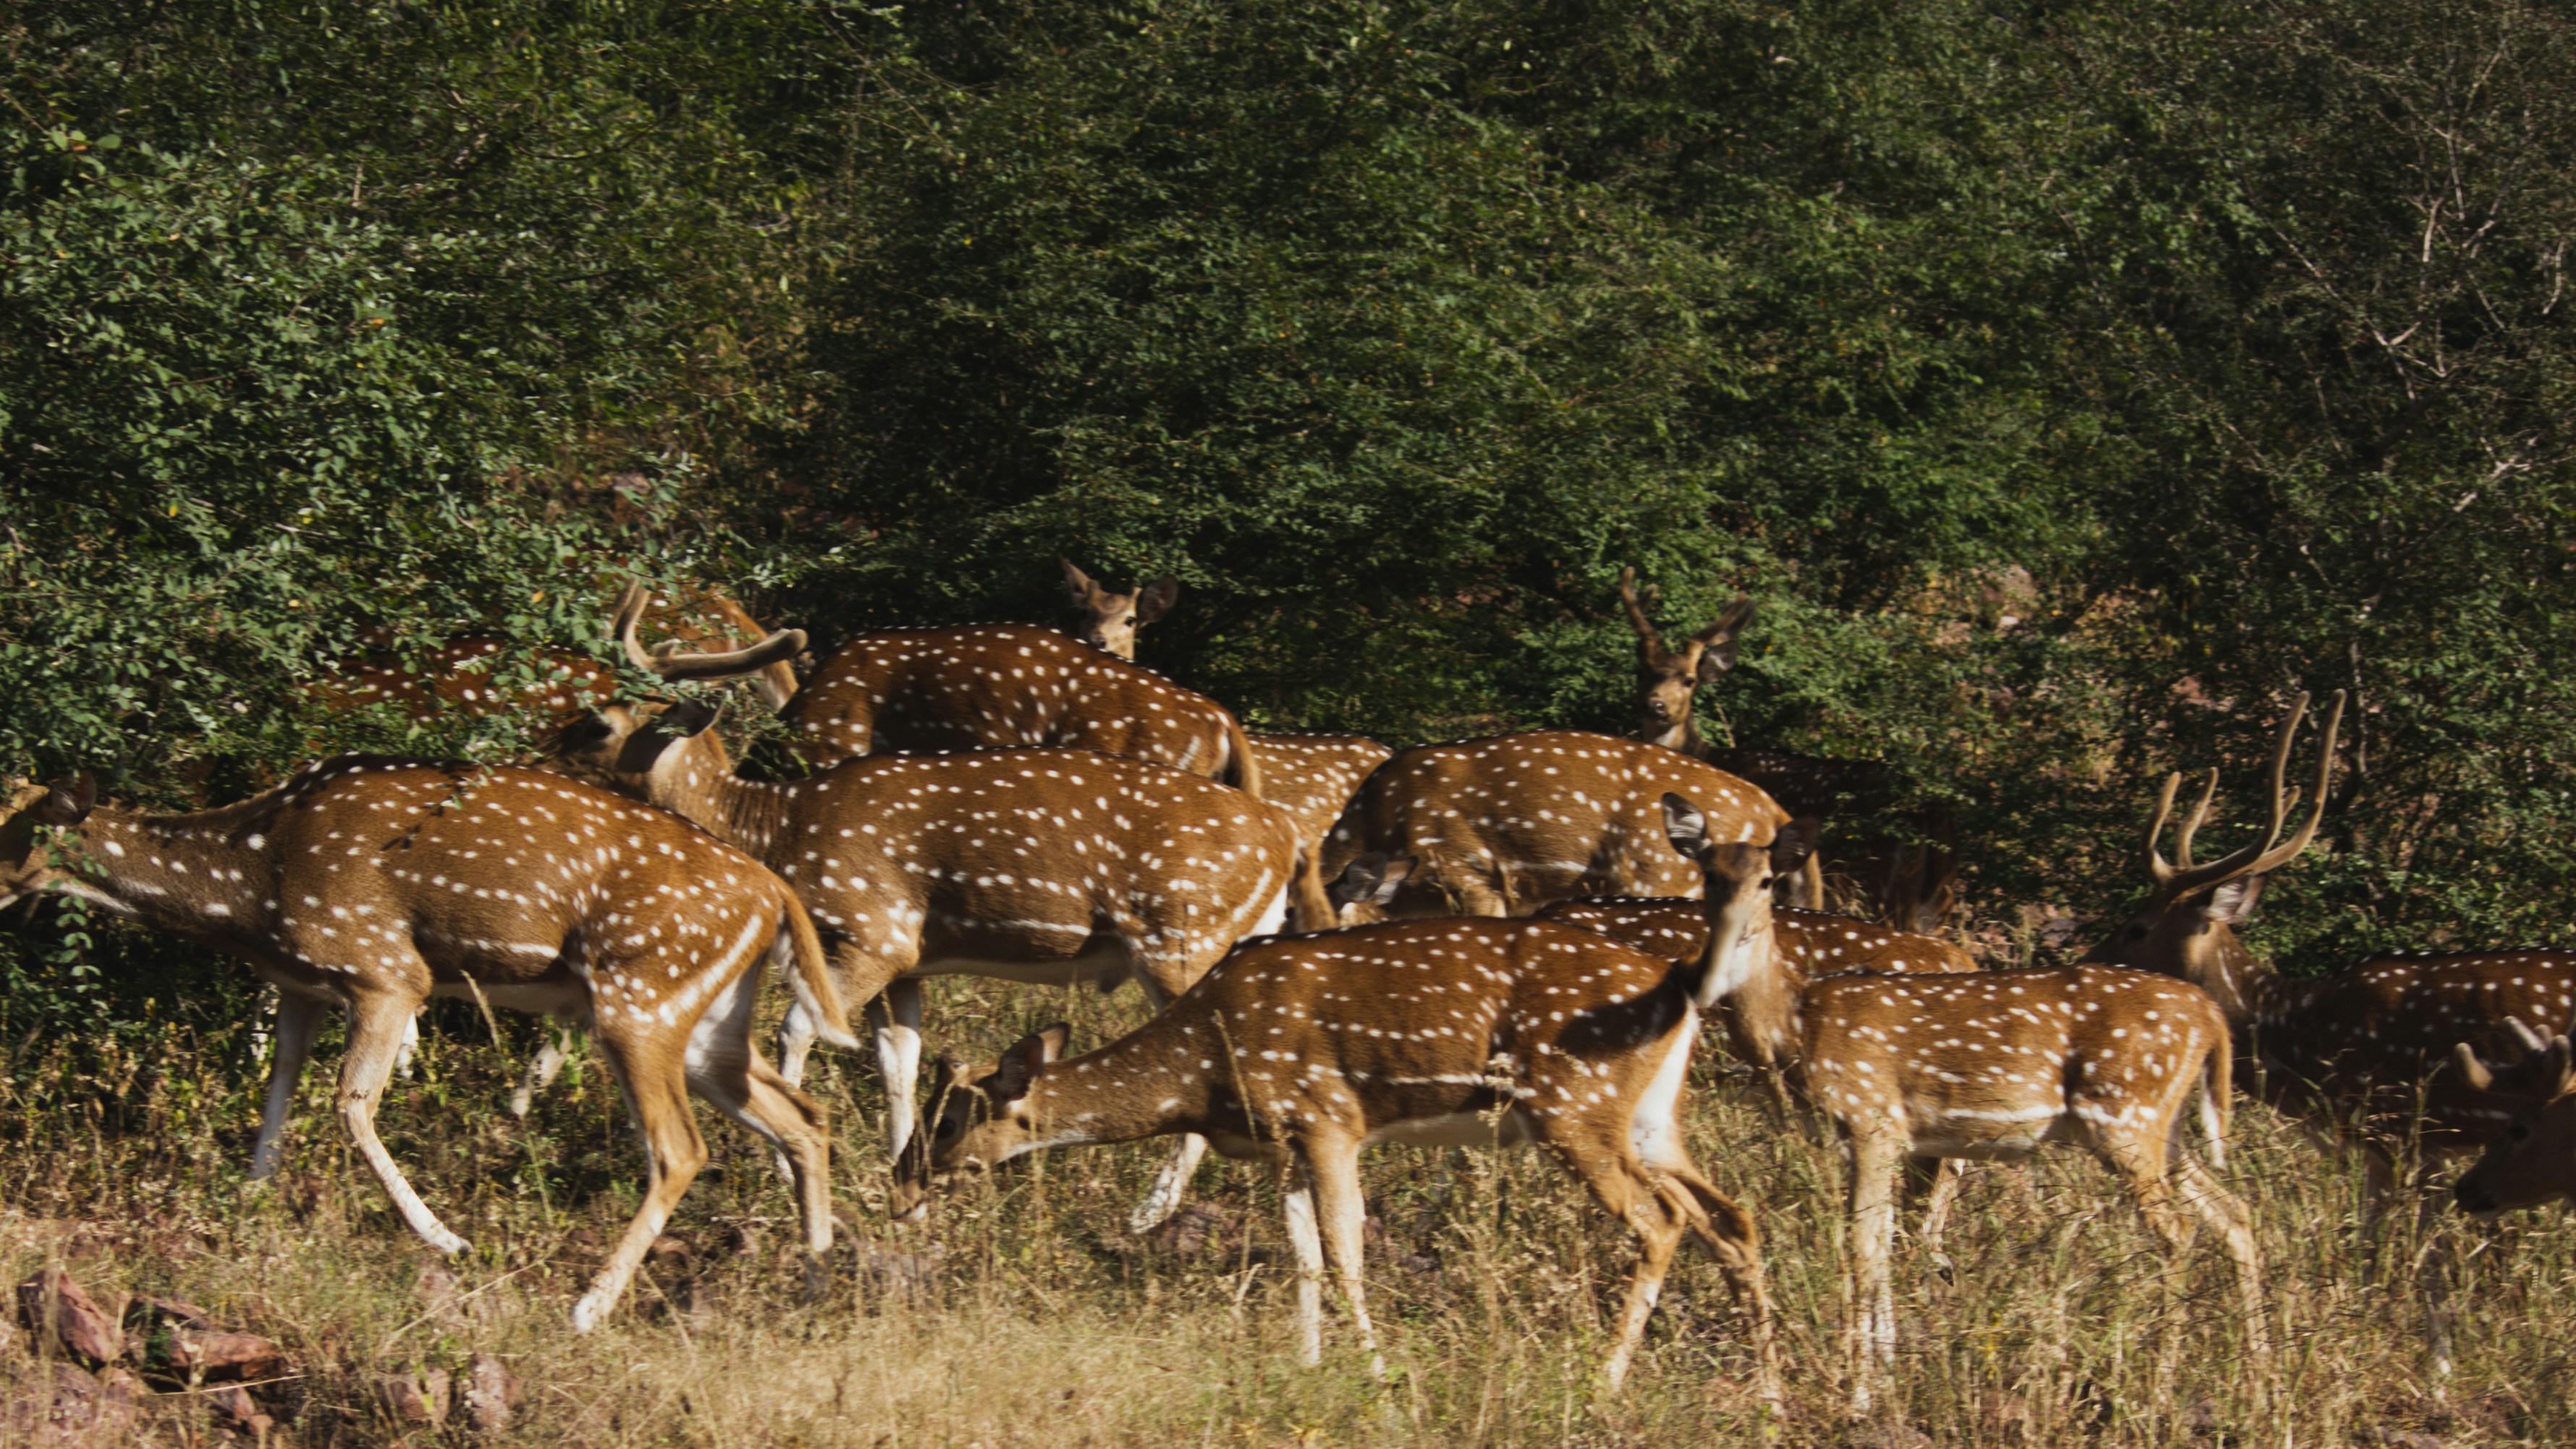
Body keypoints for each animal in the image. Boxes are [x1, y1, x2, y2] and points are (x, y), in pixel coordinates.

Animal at [0, 760, 859, 1333]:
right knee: (804, 1117)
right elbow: (278, 1092)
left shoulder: (386, 968)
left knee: (681, 1147)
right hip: (707, 1022)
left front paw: (449, 1239)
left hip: (639, 997)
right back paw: (813, 1287)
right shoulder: (302, 983)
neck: (251, 886)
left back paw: (587, 1305)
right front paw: (246, 1204)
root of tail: (776, 892)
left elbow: (349, 1105)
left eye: (15, 835)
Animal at [890, 790, 1805, 1395]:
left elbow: (1345, 1253)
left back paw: (1607, 1376)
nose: (900, 1182)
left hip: (1574, 1106)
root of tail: (1679, 984)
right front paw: (1307, 1361)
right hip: (1649, 1116)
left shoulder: (1329, 1116)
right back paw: (1764, 1384)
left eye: (950, 1121)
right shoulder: (1291, 1142)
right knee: (1731, 1215)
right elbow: (1302, 1253)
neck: (1205, 1070)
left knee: (1661, 1220)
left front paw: (1374, 1368)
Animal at [1616, 568, 1957, 929]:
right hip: (1937, 903)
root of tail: (1933, 814)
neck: (1705, 752)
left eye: (1689, 679)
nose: (1656, 705)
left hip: (1883, 887)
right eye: (1642, 671)